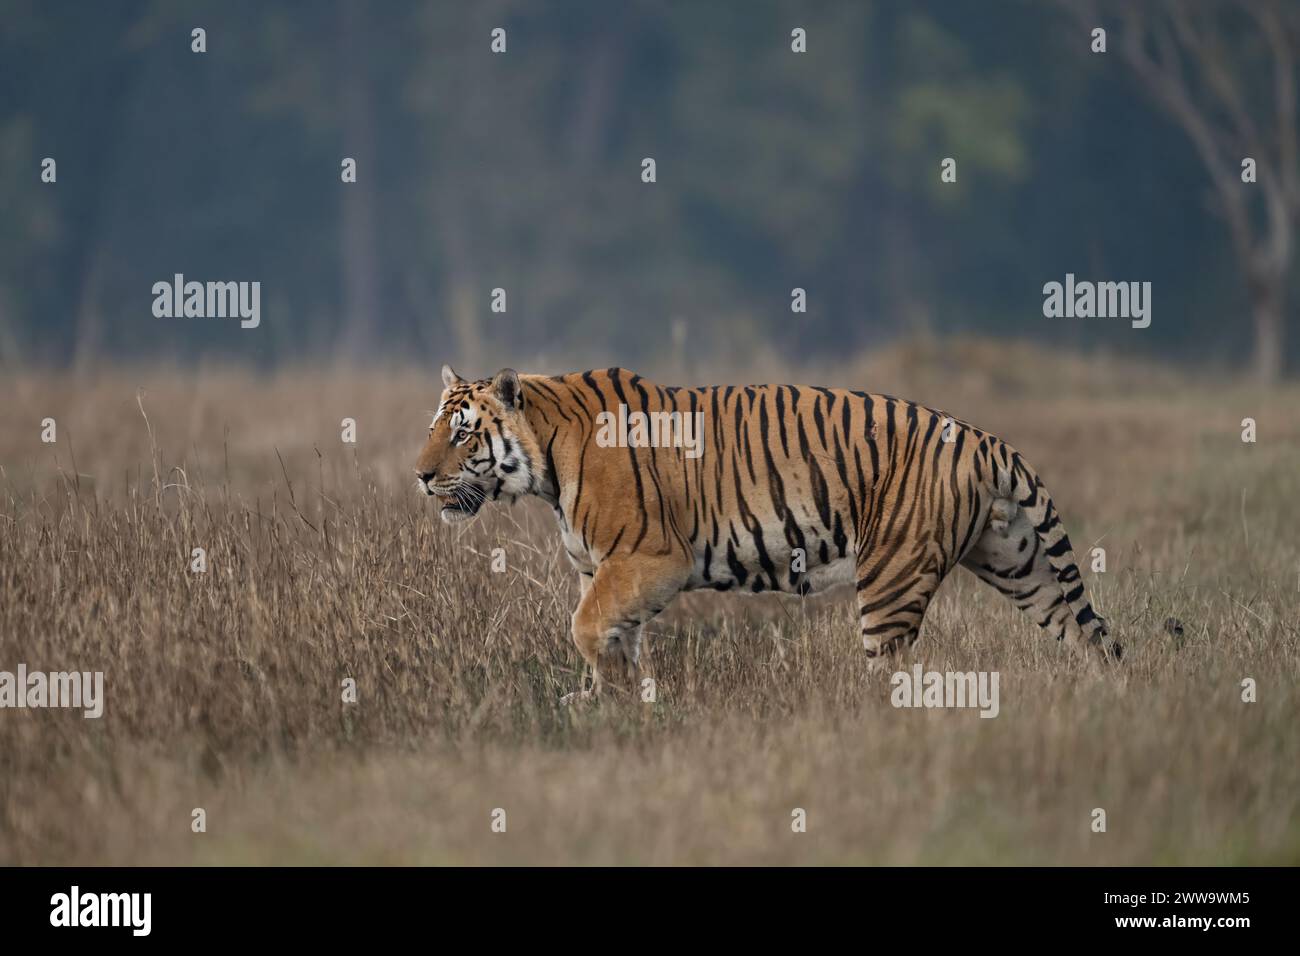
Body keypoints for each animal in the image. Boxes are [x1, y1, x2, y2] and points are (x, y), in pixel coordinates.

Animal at [415, 365, 1117, 701]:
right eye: (435, 428)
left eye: (463, 433)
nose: (420, 476)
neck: (546, 462)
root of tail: (985, 439)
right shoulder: (604, 570)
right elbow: (614, 634)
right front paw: (610, 701)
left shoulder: (649, 557)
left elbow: (587, 628)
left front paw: (606, 696)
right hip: (1019, 562)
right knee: (1092, 634)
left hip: (892, 577)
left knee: (889, 669)